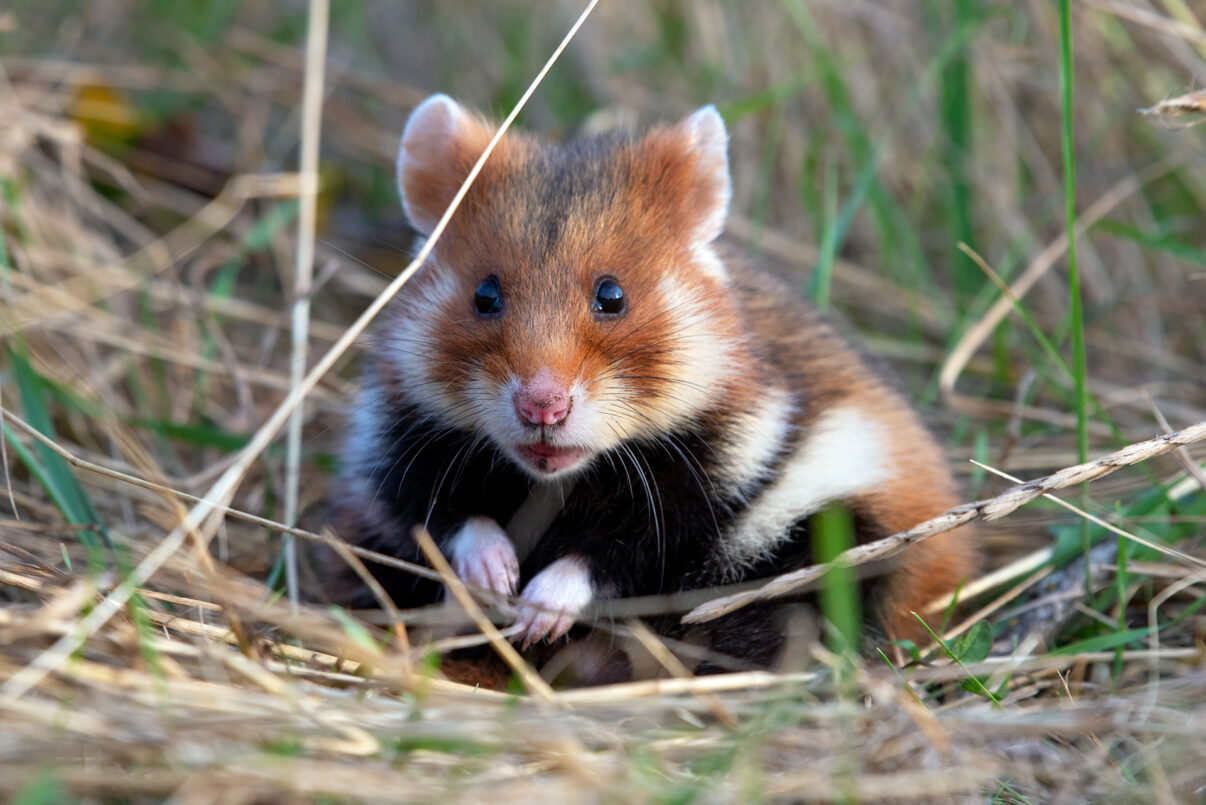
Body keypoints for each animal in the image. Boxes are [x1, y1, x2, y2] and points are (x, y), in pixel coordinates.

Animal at [325, 94, 977, 669]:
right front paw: (497, 581)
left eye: (612, 295)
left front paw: (535, 614)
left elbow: (613, 553)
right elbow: (449, 518)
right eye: (485, 295)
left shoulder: (705, 480)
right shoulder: (399, 450)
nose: (543, 408)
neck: (556, 480)